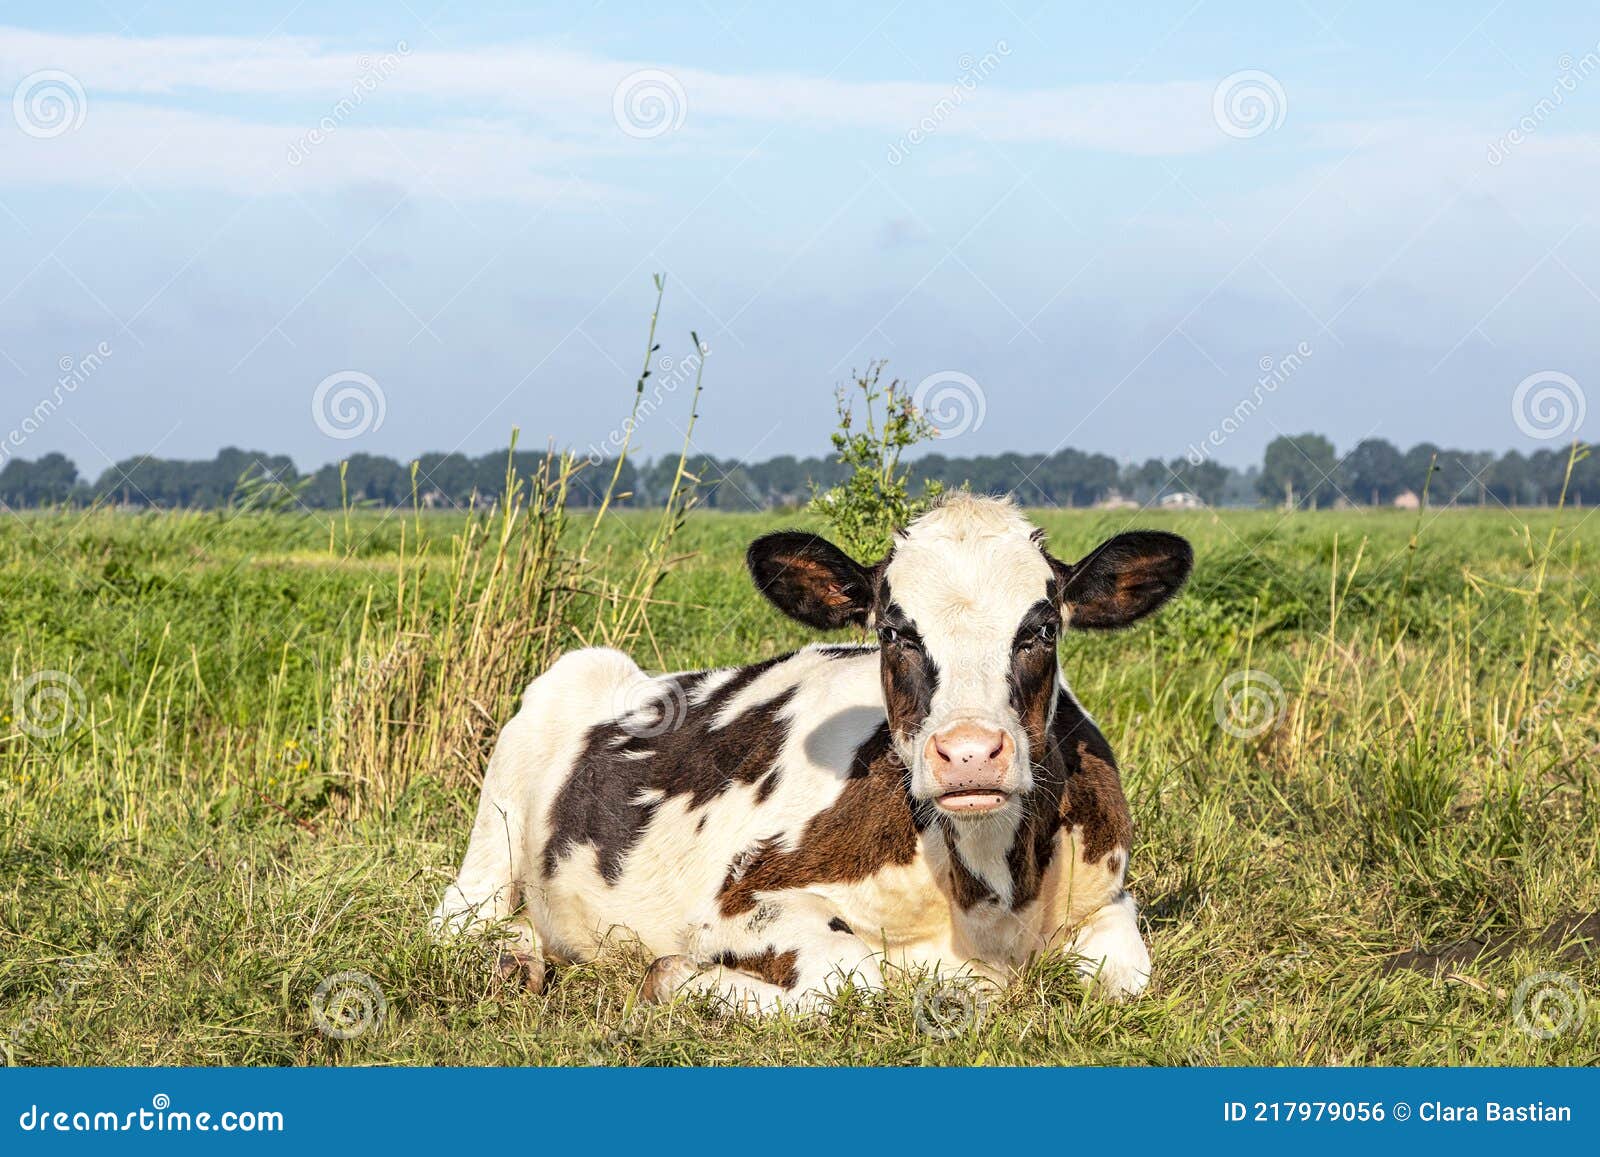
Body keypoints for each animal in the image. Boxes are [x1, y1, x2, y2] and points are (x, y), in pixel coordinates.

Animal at [431, 493, 1192, 1012]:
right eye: (893, 631)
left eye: (1041, 629)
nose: (970, 753)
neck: (987, 899)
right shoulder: (740, 899)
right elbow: (851, 979)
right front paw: (680, 979)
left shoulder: (1110, 899)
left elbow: (1124, 975)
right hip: (495, 836)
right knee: (462, 919)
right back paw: (513, 960)